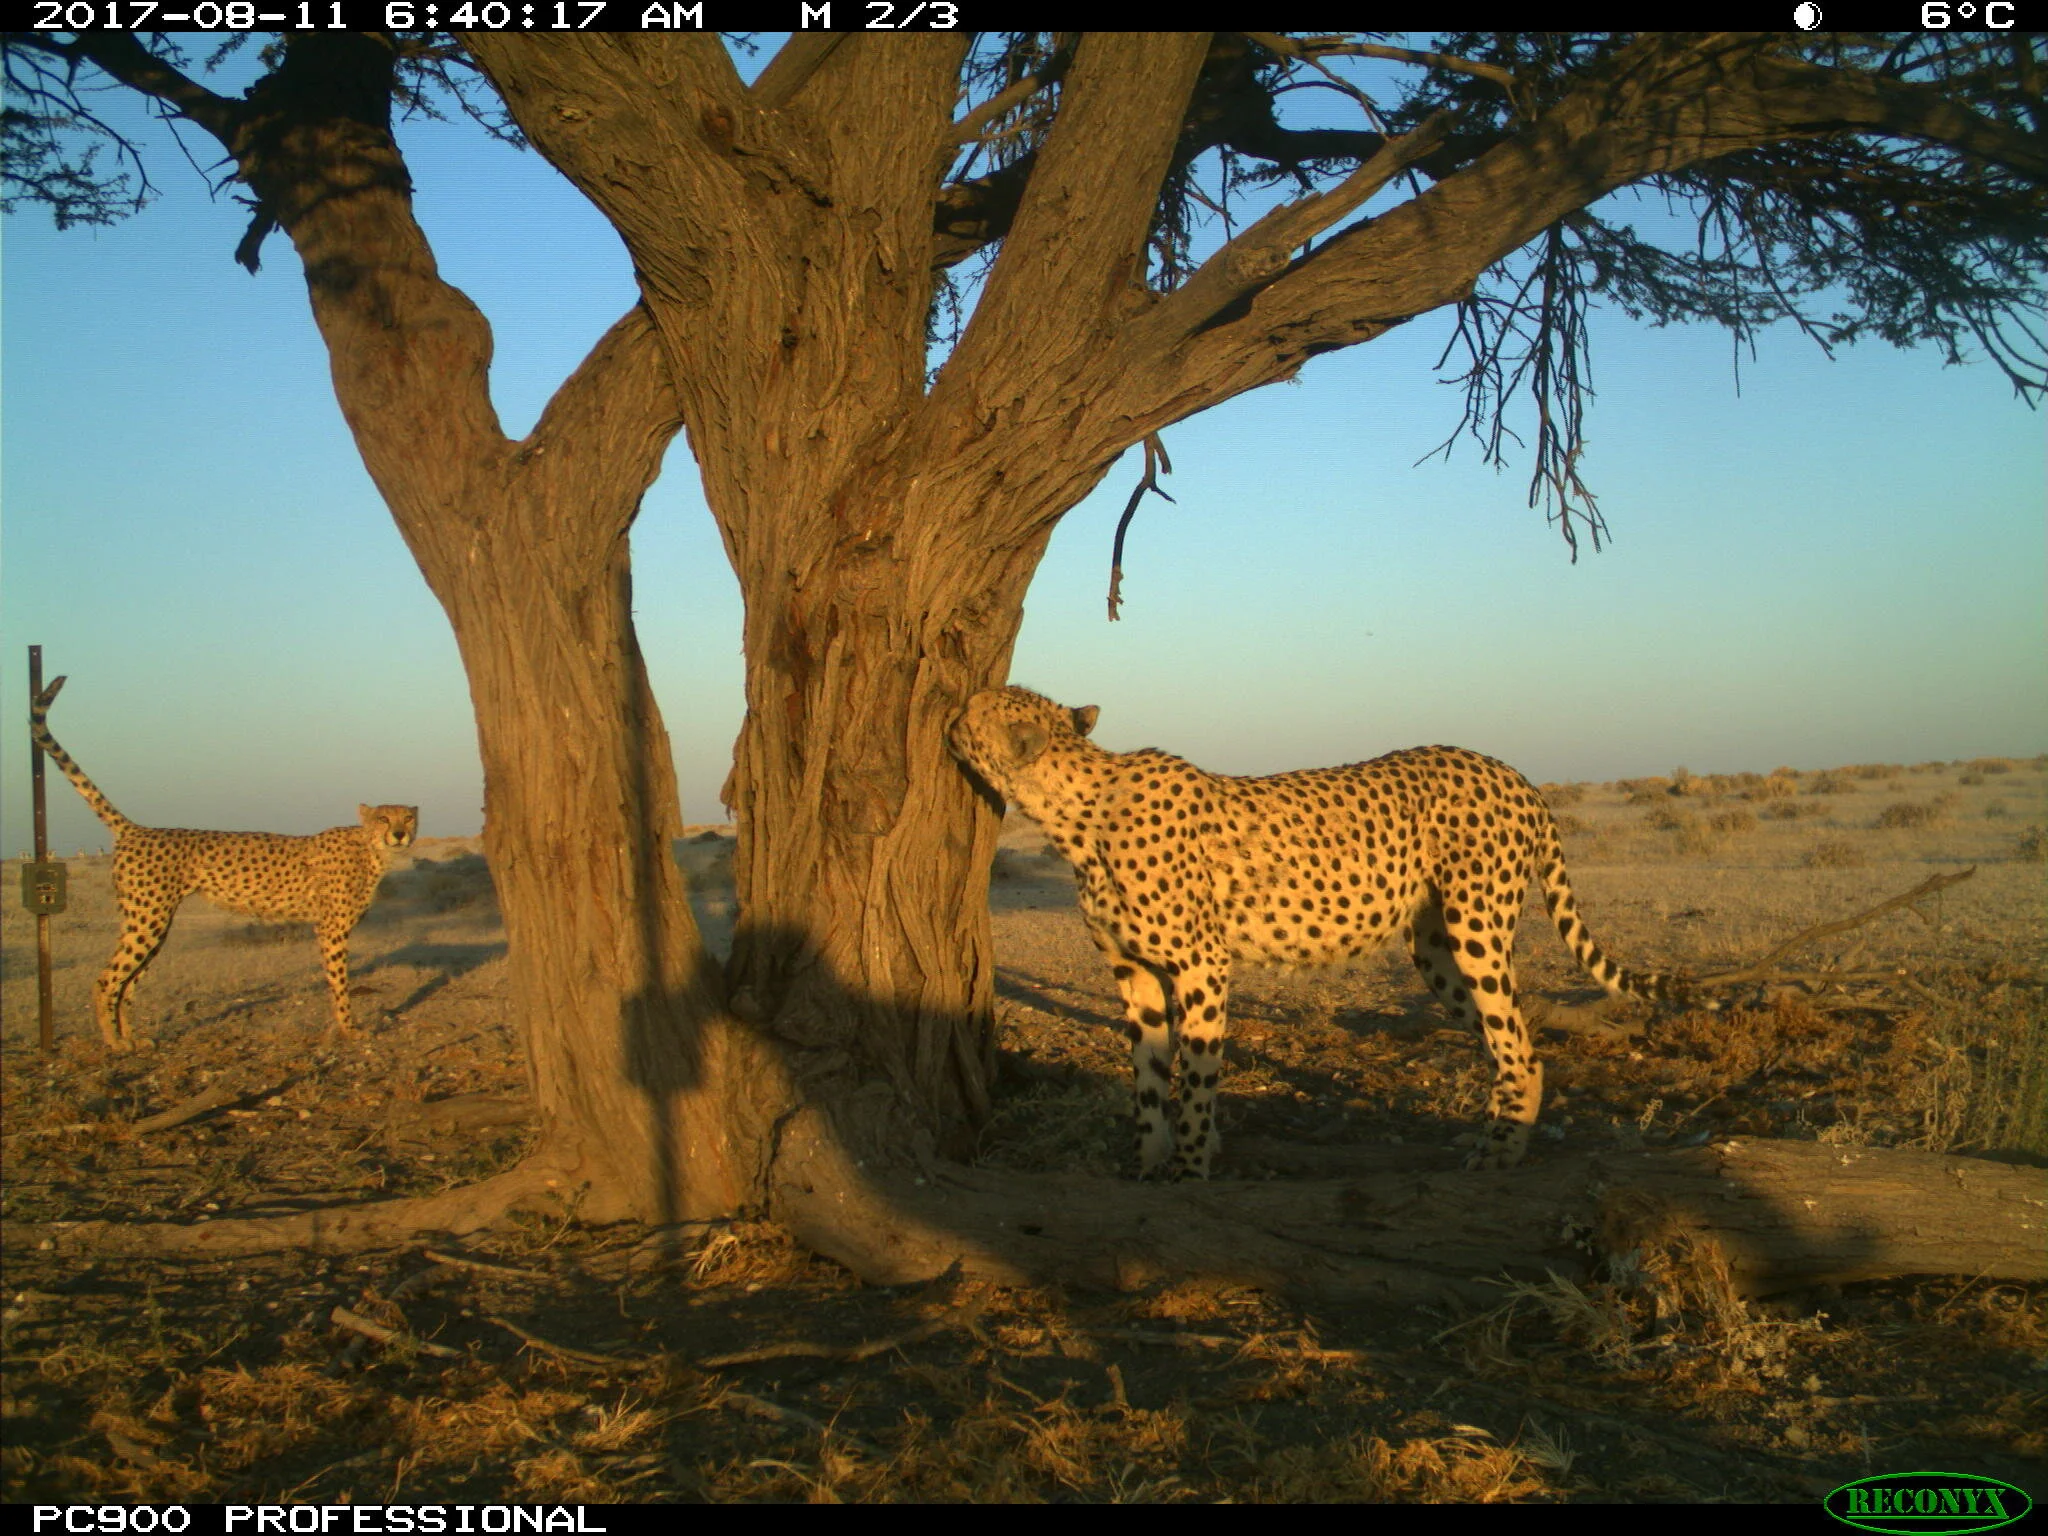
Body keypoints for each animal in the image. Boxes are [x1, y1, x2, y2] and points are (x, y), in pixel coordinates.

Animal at [30, 676, 418, 1049]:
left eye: (408, 818)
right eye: (384, 818)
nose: (399, 834)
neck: (372, 850)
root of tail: (137, 829)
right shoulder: (331, 929)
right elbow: (339, 984)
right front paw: (349, 1030)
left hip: (153, 923)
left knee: (128, 983)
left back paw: (132, 1038)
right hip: (147, 918)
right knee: (107, 979)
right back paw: (113, 1043)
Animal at [948, 685, 1688, 1178]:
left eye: (973, 712)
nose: (948, 716)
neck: (1077, 812)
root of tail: (1514, 774)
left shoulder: (1203, 964)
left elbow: (1196, 1078)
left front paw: (1191, 1165)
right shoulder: (1134, 972)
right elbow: (1150, 1078)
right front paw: (1147, 1165)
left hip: (1476, 928)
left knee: (1516, 1042)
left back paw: (1500, 1152)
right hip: (1435, 949)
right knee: (1515, 1043)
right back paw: (1498, 1135)